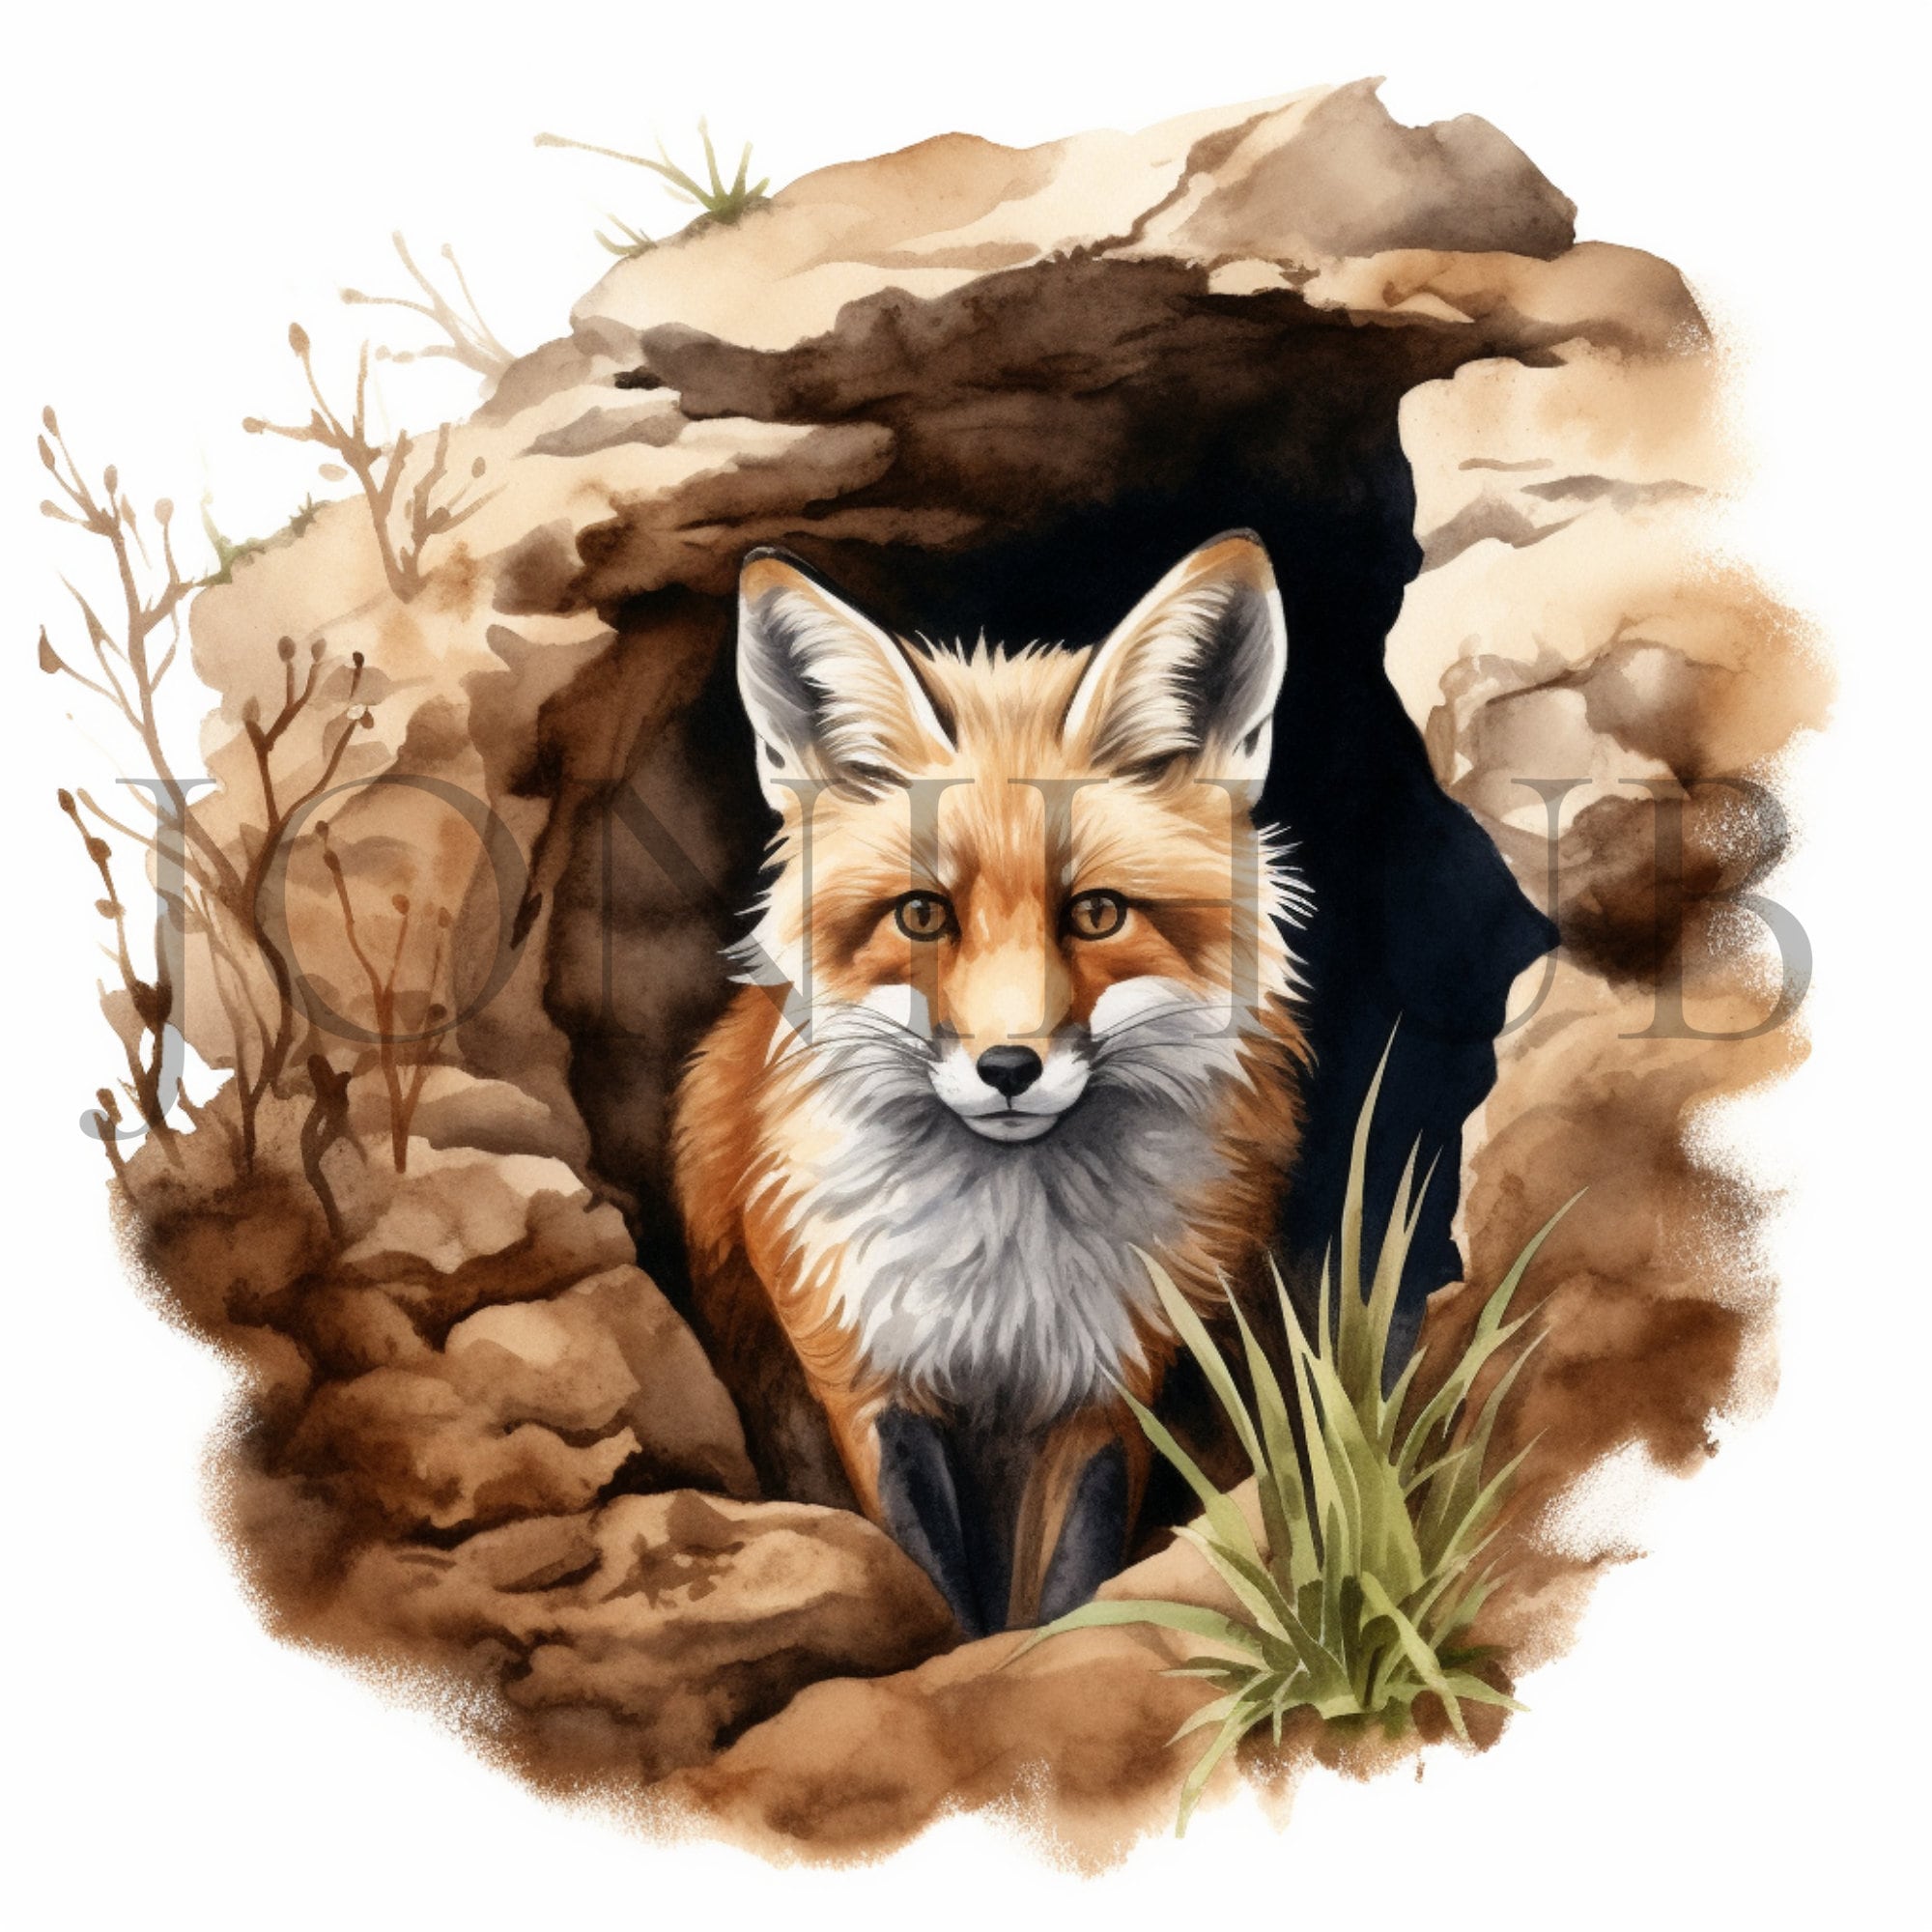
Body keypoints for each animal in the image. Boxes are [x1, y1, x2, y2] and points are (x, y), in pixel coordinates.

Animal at [670, 531, 1307, 1637]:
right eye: (922, 915)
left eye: (1096, 913)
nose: (1008, 1068)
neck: (1008, 1271)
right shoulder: (863, 1372)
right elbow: (939, 1584)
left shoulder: (1109, 1382)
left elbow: (1062, 1588)